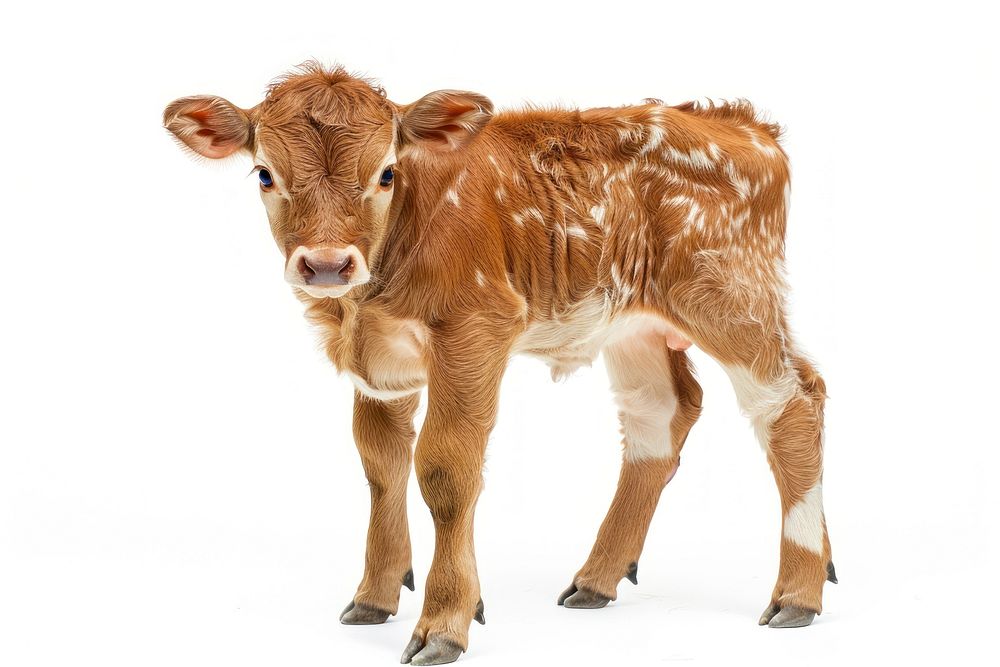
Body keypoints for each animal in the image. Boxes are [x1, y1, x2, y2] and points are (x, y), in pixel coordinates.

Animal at [163, 62, 835, 665]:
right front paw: (375, 597)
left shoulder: (475, 330)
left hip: (731, 294)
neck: (365, 302)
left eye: (385, 172)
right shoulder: (380, 361)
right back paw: (599, 579)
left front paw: (445, 622)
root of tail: (739, 122)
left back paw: (797, 592)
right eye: (264, 174)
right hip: (632, 321)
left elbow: (445, 469)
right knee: (659, 417)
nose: (327, 265)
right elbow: (380, 462)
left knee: (793, 402)